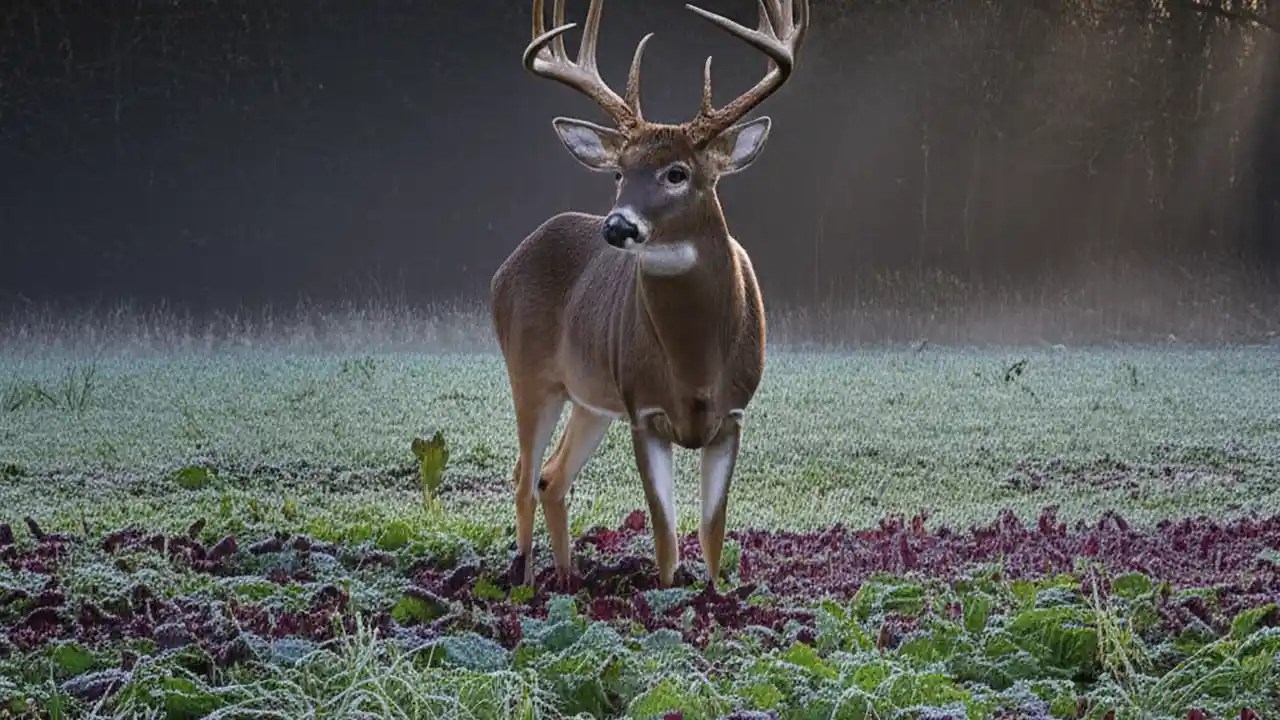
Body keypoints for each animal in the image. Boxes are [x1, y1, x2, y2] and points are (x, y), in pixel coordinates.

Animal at [490, 0, 809, 589]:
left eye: (677, 173)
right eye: (619, 172)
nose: (617, 225)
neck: (695, 367)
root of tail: (506, 267)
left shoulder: (733, 415)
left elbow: (711, 532)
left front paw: (714, 595)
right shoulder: (643, 408)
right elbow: (664, 537)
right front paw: (666, 597)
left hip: (590, 397)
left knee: (550, 477)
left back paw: (568, 579)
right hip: (530, 374)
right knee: (524, 474)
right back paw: (523, 579)